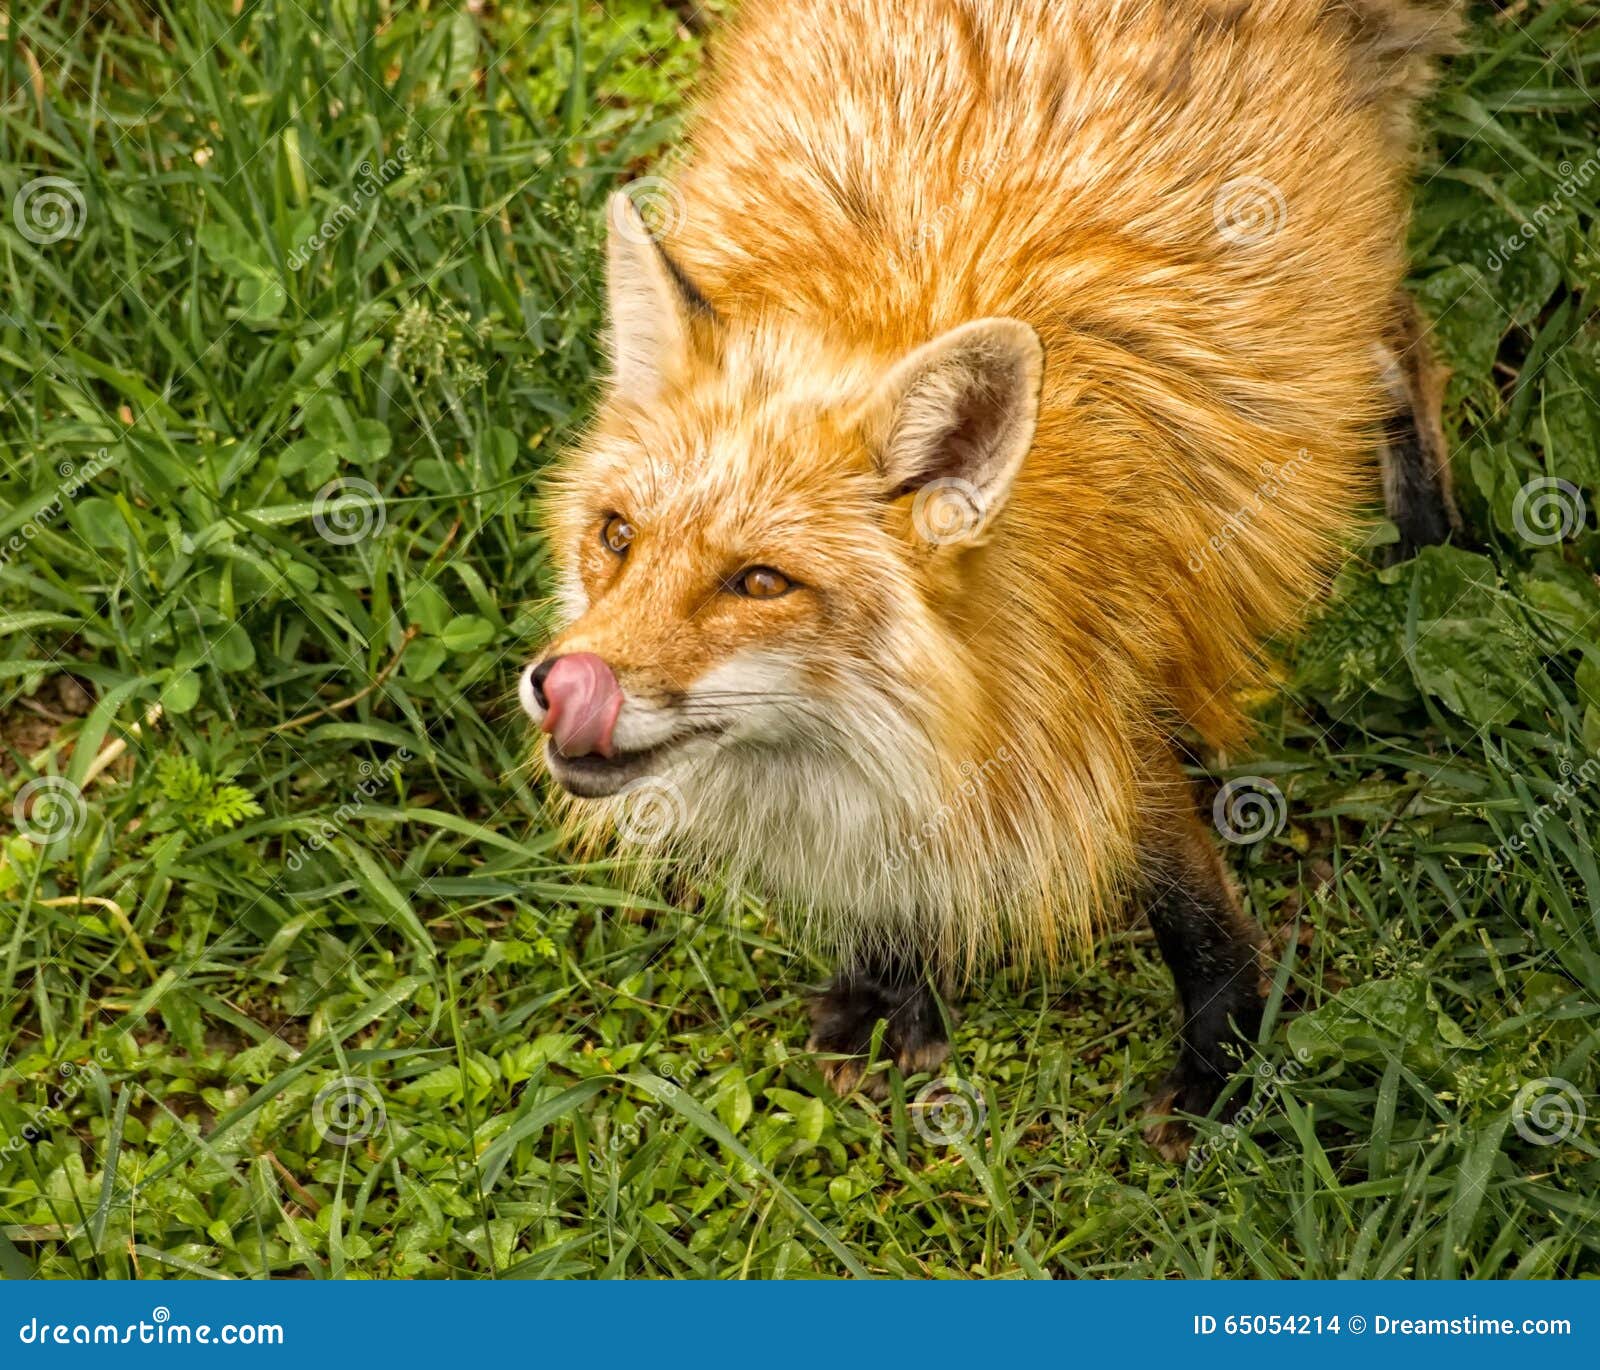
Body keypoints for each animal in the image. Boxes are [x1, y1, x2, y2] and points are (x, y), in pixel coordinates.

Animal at [520, 0, 1463, 1157]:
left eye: (759, 581)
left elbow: (1185, 890)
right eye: (617, 536)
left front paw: (1224, 1064)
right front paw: (891, 981)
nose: (560, 682)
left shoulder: (1098, 690)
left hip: (1324, 298)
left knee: (1398, 343)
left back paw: (1431, 552)